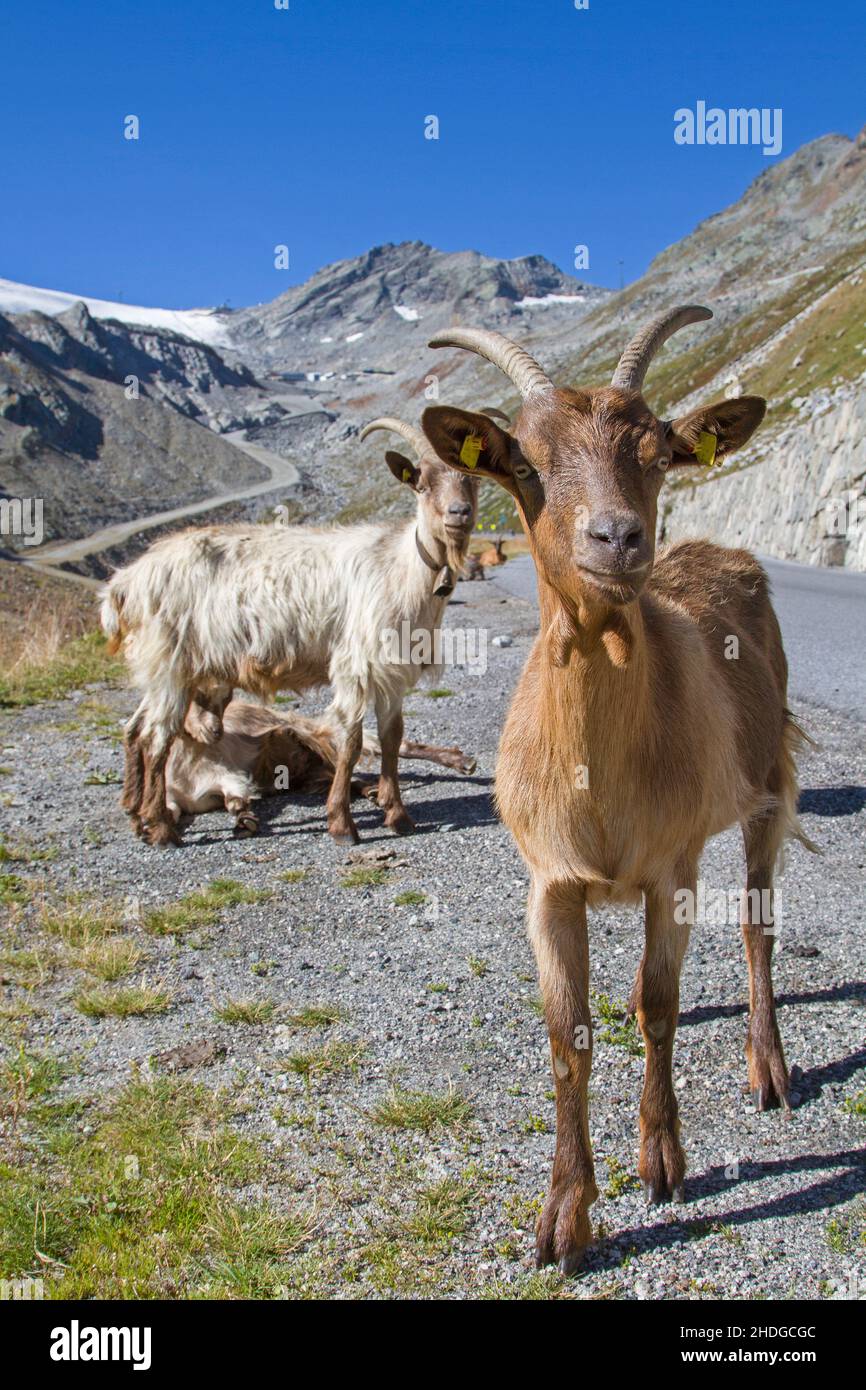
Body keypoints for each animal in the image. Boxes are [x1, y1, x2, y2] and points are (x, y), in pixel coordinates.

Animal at [165, 697, 476, 834]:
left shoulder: (225, 773)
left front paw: (245, 819)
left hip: (316, 732)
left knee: (393, 746)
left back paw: (462, 761)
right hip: (305, 770)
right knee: (342, 776)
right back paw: (372, 792)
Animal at [422, 307, 817, 1273]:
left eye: (660, 451)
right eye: (524, 461)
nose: (616, 538)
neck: (597, 776)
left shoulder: (672, 868)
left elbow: (657, 1007)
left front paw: (662, 1160)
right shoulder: (549, 885)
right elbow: (569, 1035)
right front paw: (564, 1218)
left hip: (767, 789)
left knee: (756, 927)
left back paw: (769, 1067)